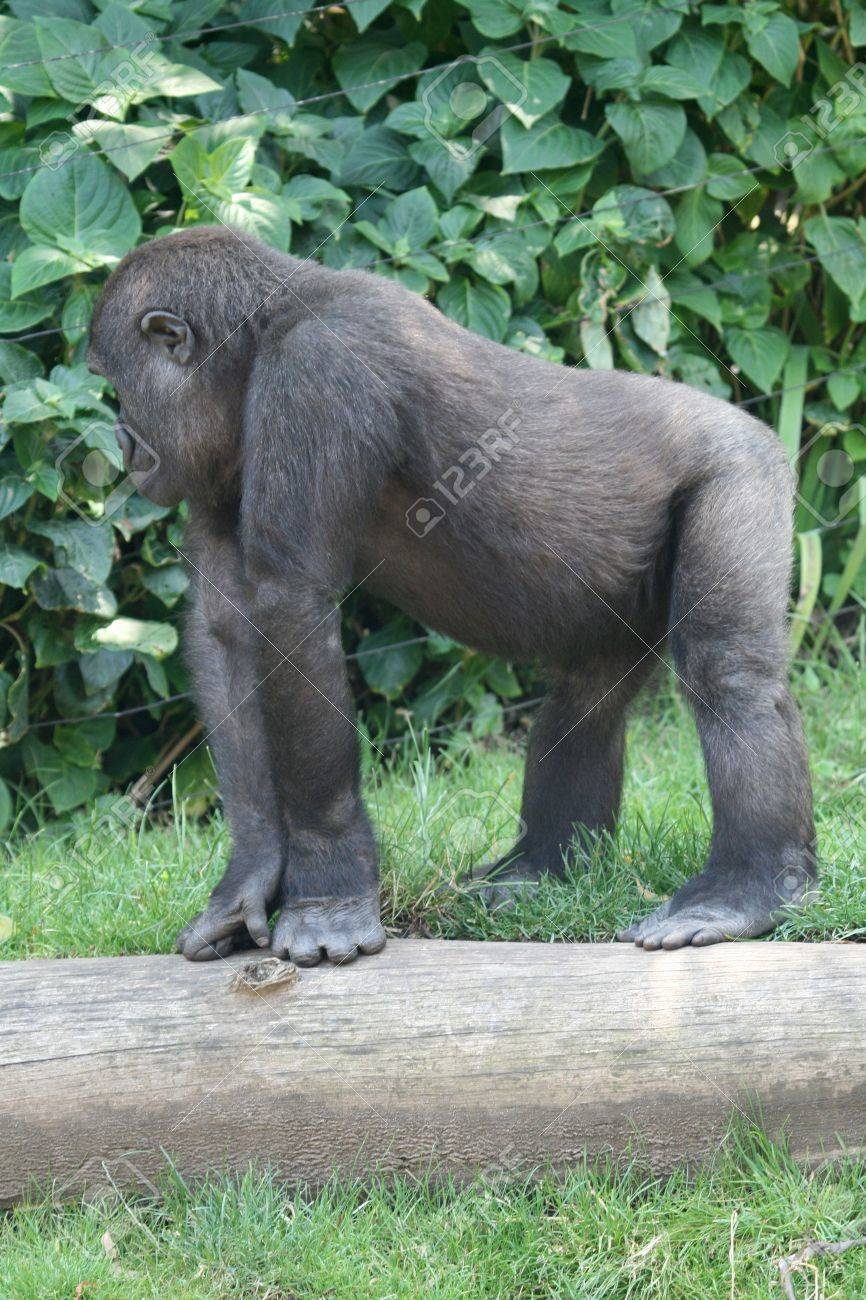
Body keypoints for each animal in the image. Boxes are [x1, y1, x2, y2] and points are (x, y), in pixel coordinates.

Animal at [86, 225, 816, 965]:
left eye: (115, 386)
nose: (121, 441)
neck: (263, 331)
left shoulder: (317, 371)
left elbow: (289, 605)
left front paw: (328, 891)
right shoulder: (214, 460)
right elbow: (226, 631)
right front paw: (251, 875)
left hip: (741, 467)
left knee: (728, 670)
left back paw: (746, 889)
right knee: (586, 698)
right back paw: (538, 871)